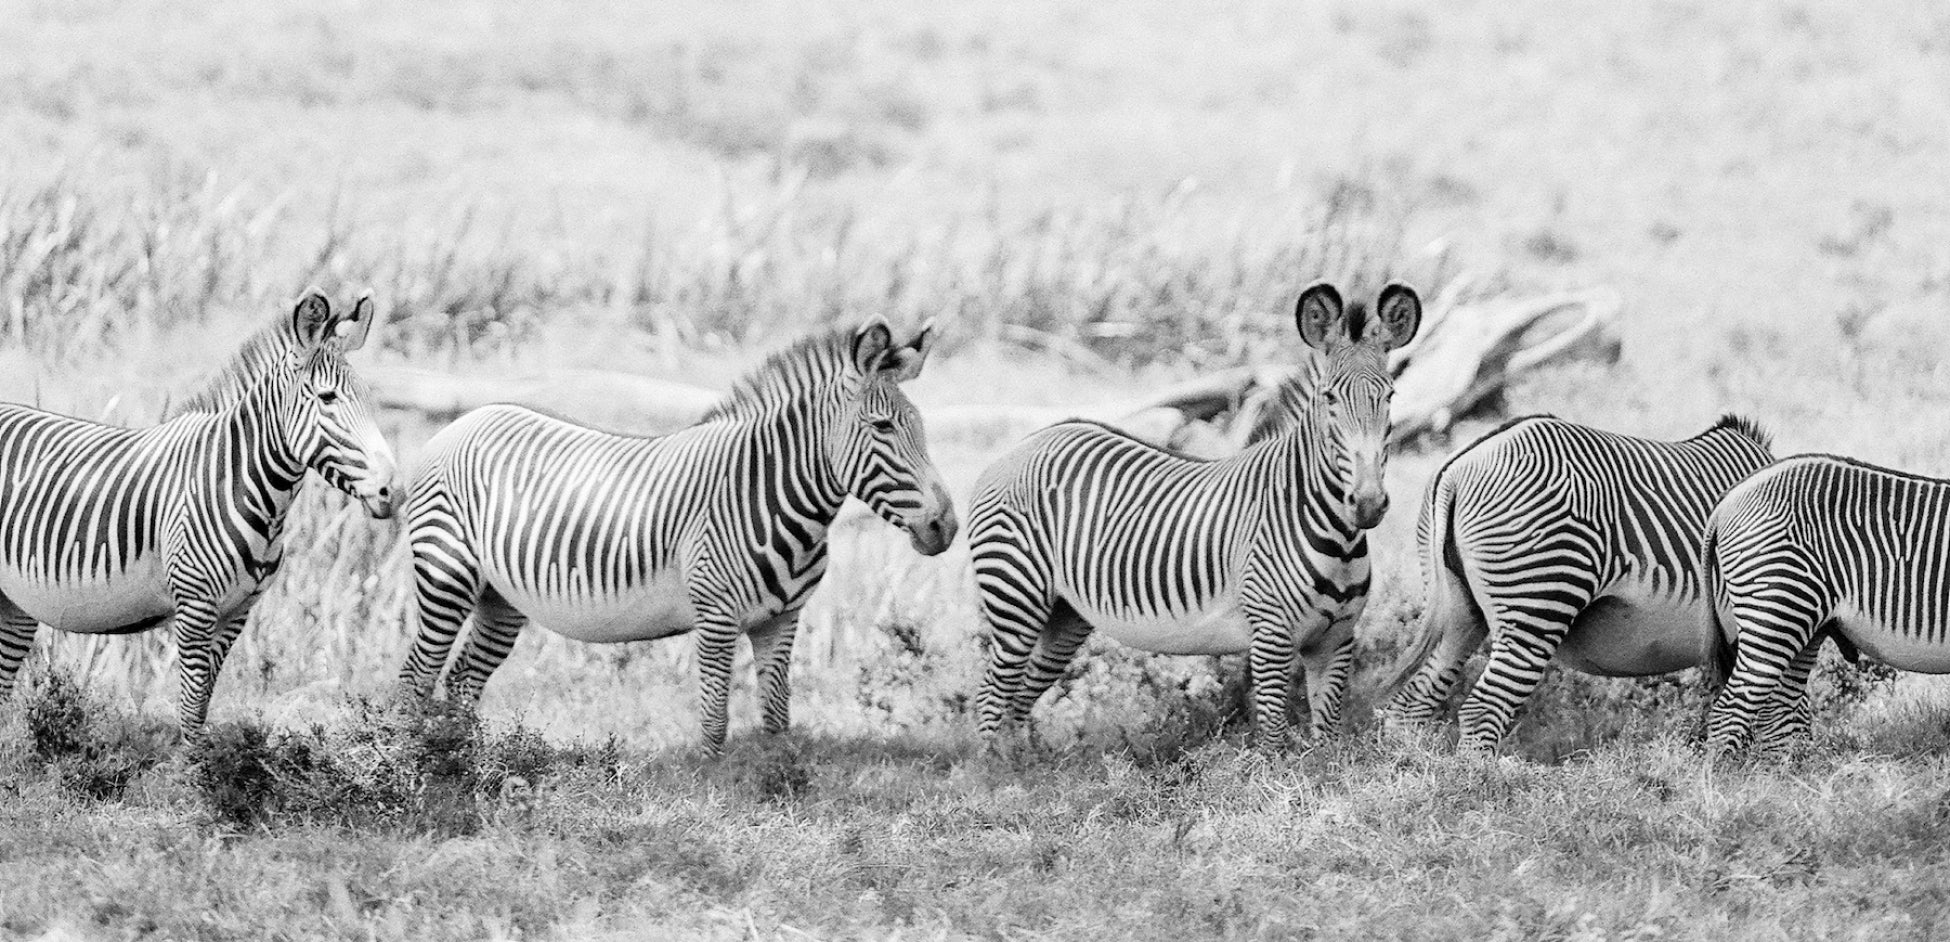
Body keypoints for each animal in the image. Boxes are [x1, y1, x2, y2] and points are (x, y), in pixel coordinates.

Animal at [0, 290, 397, 736]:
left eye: (369, 399)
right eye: (327, 398)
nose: (391, 489)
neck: (246, 488)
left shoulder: (236, 613)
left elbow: (203, 703)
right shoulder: (194, 607)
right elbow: (190, 712)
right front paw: (192, 757)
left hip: (12, 603)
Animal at [396, 320, 957, 753]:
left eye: (920, 426)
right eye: (883, 428)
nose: (945, 526)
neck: (767, 494)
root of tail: (467, 418)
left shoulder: (782, 621)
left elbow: (777, 720)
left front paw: (783, 784)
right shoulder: (716, 617)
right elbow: (714, 721)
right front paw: (711, 795)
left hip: (501, 598)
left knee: (463, 678)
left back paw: (464, 758)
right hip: (447, 573)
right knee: (416, 677)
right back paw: (411, 765)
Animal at [968, 282, 1422, 749]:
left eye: (1390, 396)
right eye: (1329, 398)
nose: (1367, 504)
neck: (1337, 537)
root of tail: (1026, 443)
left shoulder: (1336, 641)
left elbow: (1327, 743)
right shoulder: (1271, 637)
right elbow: (1273, 738)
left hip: (1064, 613)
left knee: (1021, 696)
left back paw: (1027, 760)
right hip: (1015, 595)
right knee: (991, 693)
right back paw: (996, 766)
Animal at [1382, 414, 1774, 752]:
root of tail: (1460, 468)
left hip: (1461, 612)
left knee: (1413, 700)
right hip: (1537, 602)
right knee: (1482, 708)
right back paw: (1481, 780)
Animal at [1704, 454, 1950, 758]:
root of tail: (1729, 499)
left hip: (1805, 626)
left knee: (1776, 713)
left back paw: (1786, 770)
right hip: (1775, 612)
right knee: (1729, 711)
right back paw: (1719, 771)